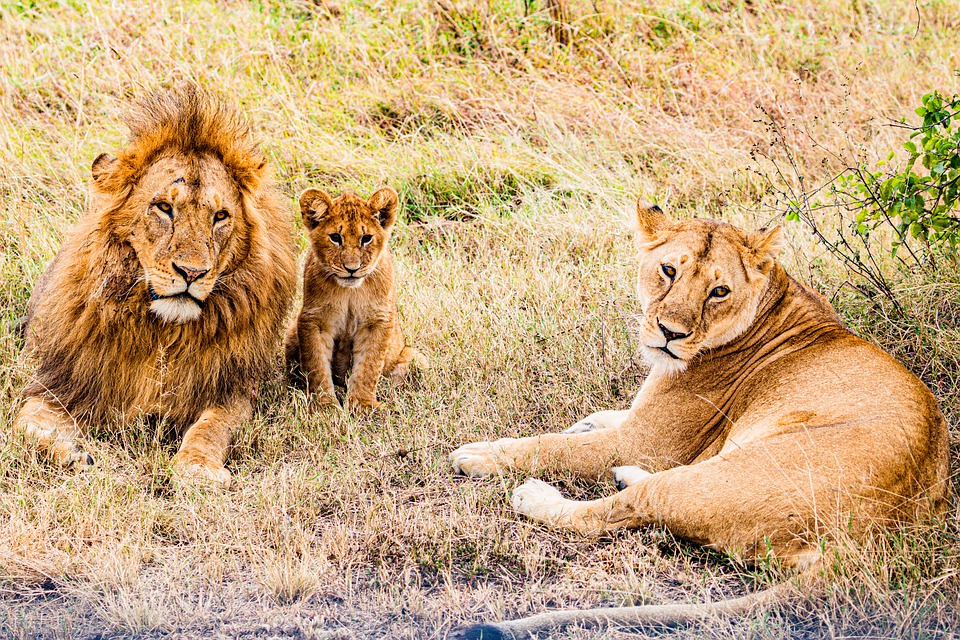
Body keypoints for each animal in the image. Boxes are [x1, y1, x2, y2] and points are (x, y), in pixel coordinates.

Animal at [13, 85, 296, 487]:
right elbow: (23, 425)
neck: (164, 332)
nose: (191, 273)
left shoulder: (233, 389)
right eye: (163, 208)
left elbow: (211, 427)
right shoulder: (62, 380)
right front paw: (72, 453)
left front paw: (197, 469)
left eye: (220, 216)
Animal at [284, 187, 425, 412]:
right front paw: (324, 407)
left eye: (366, 238)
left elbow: (368, 366)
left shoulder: (377, 321)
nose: (352, 269)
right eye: (335, 237)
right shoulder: (314, 320)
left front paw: (363, 405)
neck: (350, 291)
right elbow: (317, 365)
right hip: (290, 334)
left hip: (416, 359)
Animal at [449, 202, 950, 638]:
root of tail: (876, 544)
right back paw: (622, 475)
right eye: (669, 270)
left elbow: (550, 446)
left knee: (615, 512)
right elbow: (603, 418)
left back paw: (537, 495)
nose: (670, 333)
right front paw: (586, 422)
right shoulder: (640, 424)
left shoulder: (648, 444)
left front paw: (480, 454)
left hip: (717, 476)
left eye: (719, 291)